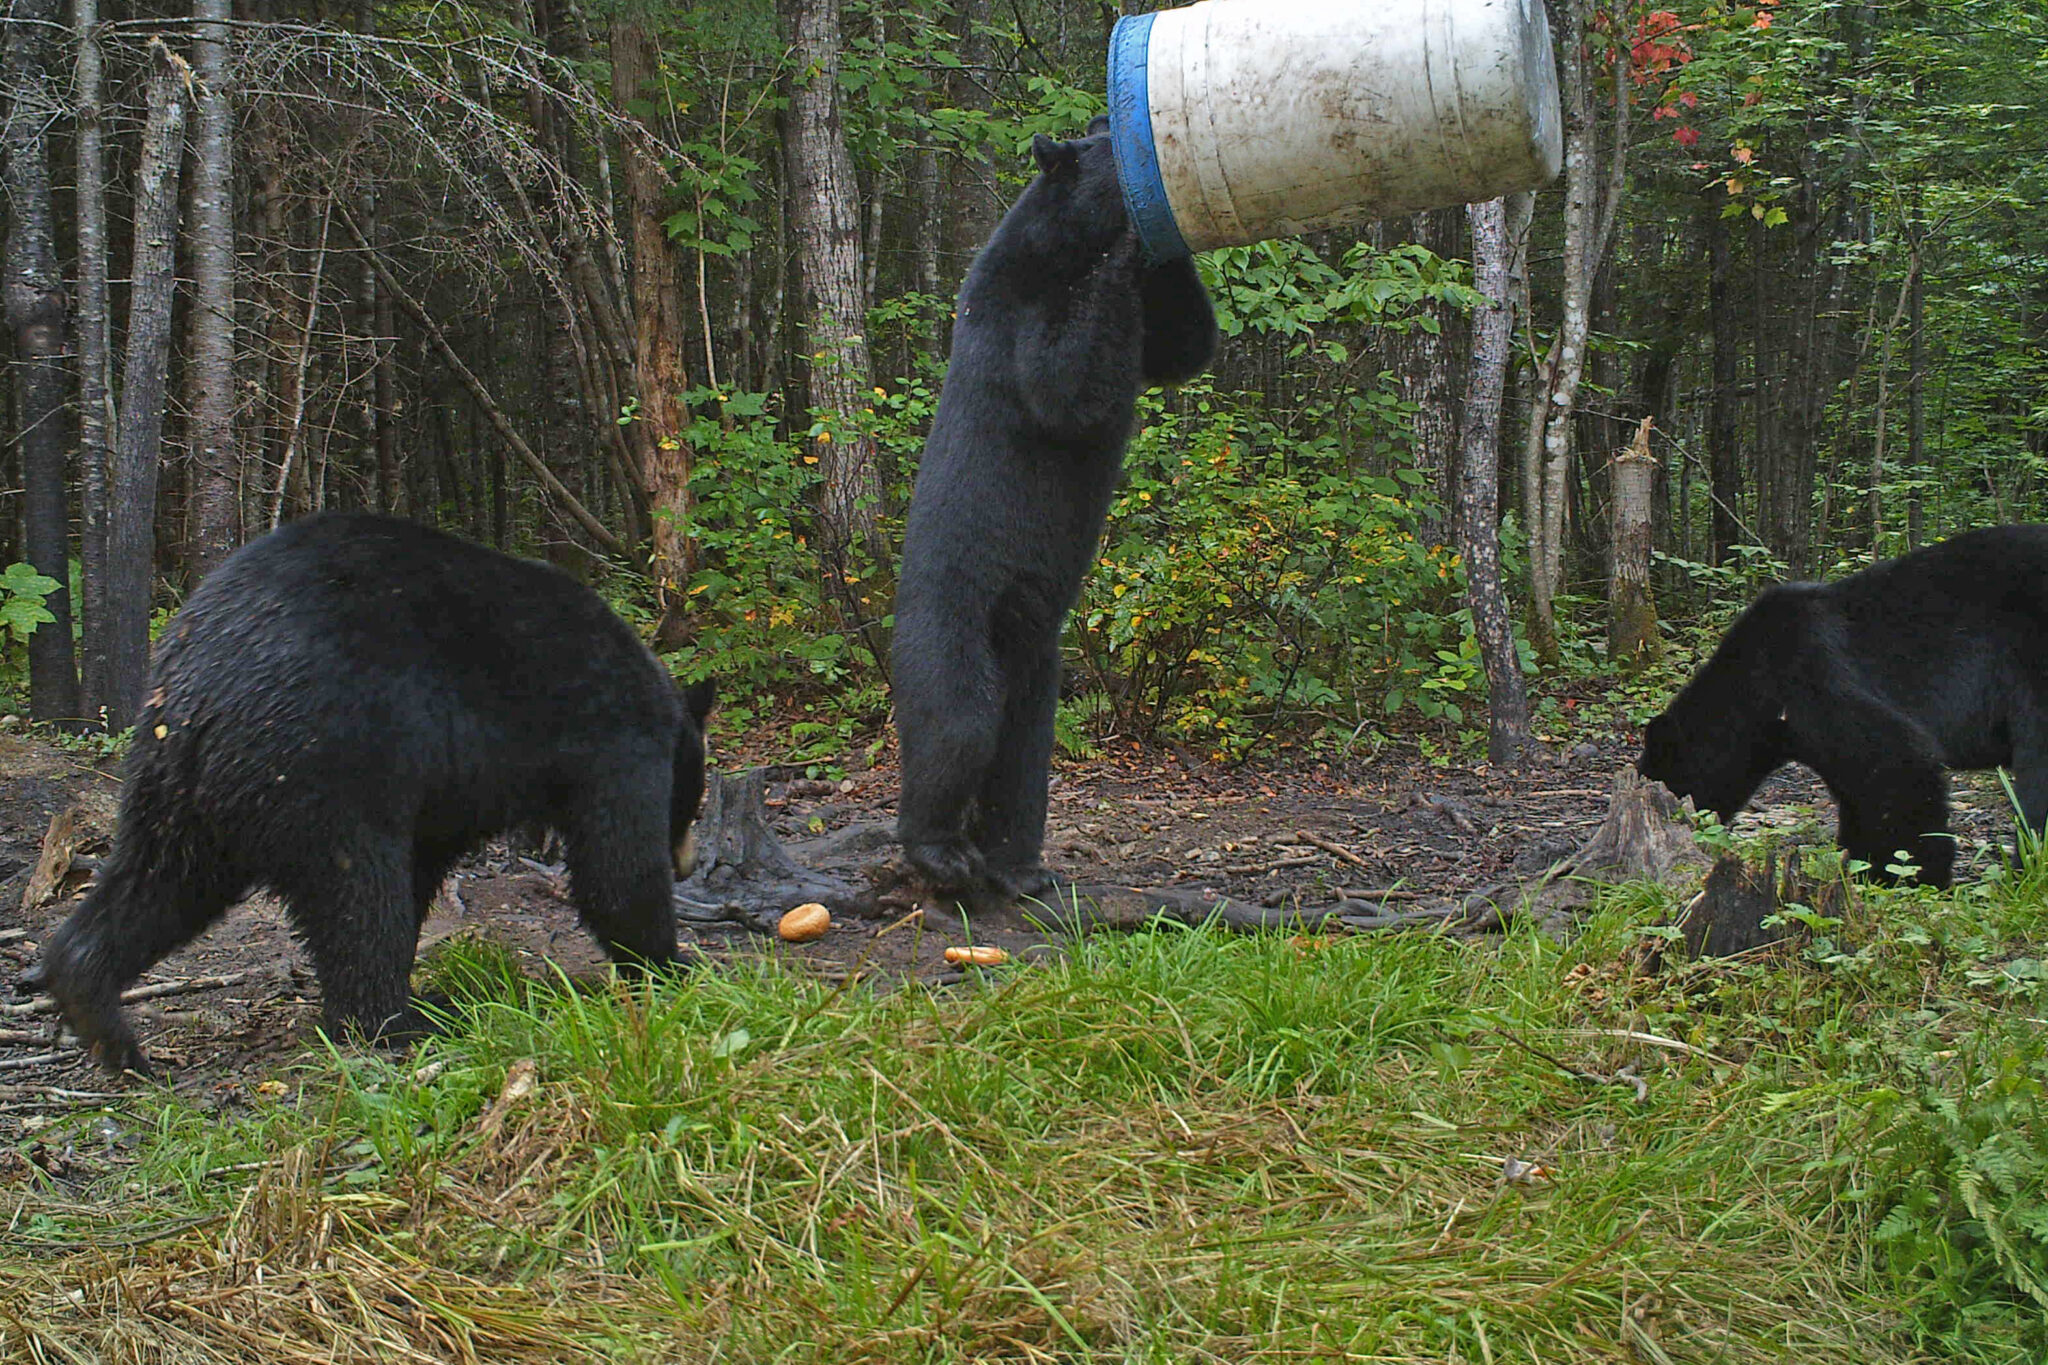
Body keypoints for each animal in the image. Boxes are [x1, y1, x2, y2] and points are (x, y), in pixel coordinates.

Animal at [25, 512, 715, 1074]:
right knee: (355, 891)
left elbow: (425, 863)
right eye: (692, 802)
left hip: (179, 788)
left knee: (156, 882)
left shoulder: (450, 791)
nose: (687, 864)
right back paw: (400, 1020)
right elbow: (615, 867)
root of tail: (198, 692)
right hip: (322, 762)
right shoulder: (613, 745)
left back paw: (99, 1016)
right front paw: (675, 963)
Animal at [891, 116, 1217, 898]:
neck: (1056, 249)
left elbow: (1181, 348)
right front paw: (1130, 239)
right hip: (952, 632)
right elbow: (1062, 380)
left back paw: (1020, 866)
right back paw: (940, 851)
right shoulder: (1012, 311)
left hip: (1041, 671)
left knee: (1022, 763)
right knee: (956, 727)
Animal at [1638, 524, 2048, 889]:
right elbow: (1856, 790)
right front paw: (1859, 866)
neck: (1755, 686)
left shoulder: (1814, 673)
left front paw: (1906, 877)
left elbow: (1898, 761)